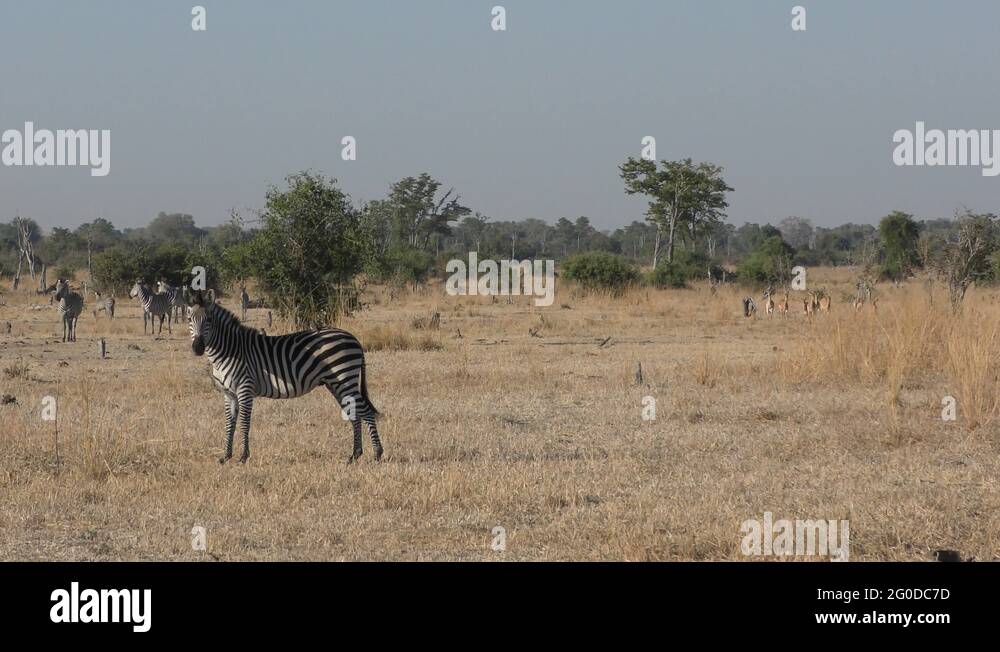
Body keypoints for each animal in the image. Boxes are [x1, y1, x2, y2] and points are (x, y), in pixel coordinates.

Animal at [187, 289, 383, 465]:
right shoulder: (228, 394)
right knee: (354, 412)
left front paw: (243, 457)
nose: (197, 348)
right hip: (336, 383)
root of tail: (353, 338)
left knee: (366, 411)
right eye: (189, 319)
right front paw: (226, 456)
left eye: (209, 320)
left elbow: (244, 422)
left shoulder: (245, 388)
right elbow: (229, 423)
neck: (230, 350)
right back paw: (354, 456)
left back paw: (377, 455)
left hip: (344, 378)